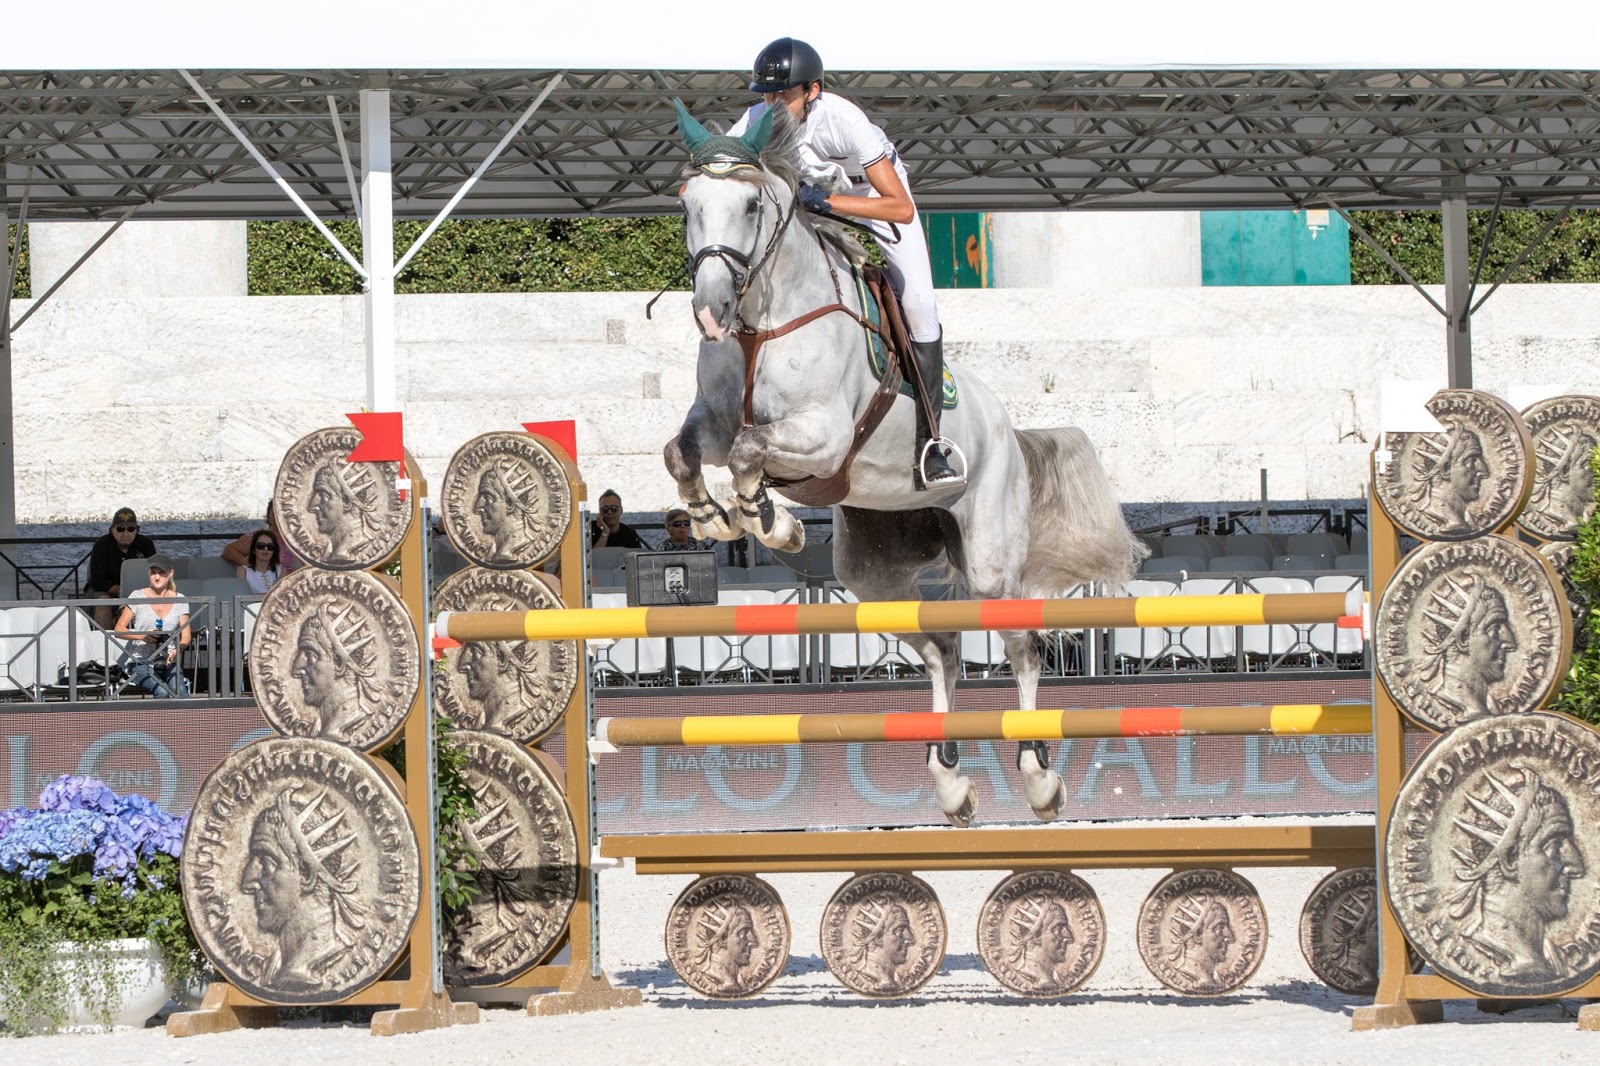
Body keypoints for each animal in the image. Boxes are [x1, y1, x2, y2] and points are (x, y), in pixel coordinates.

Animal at [662, 101, 1148, 826]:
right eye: (688, 202)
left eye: (750, 204)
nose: (710, 310)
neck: (762, 323)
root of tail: (1008, 426)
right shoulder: (714, 425)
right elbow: (684, 452)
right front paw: (718, 517)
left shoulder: (824, 437)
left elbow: (752, 452)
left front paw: (773, 522)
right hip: (873, 573)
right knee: (942, 650)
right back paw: (951, 783)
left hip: (989, 557)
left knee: (1022, 648)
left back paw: (1039, 779)